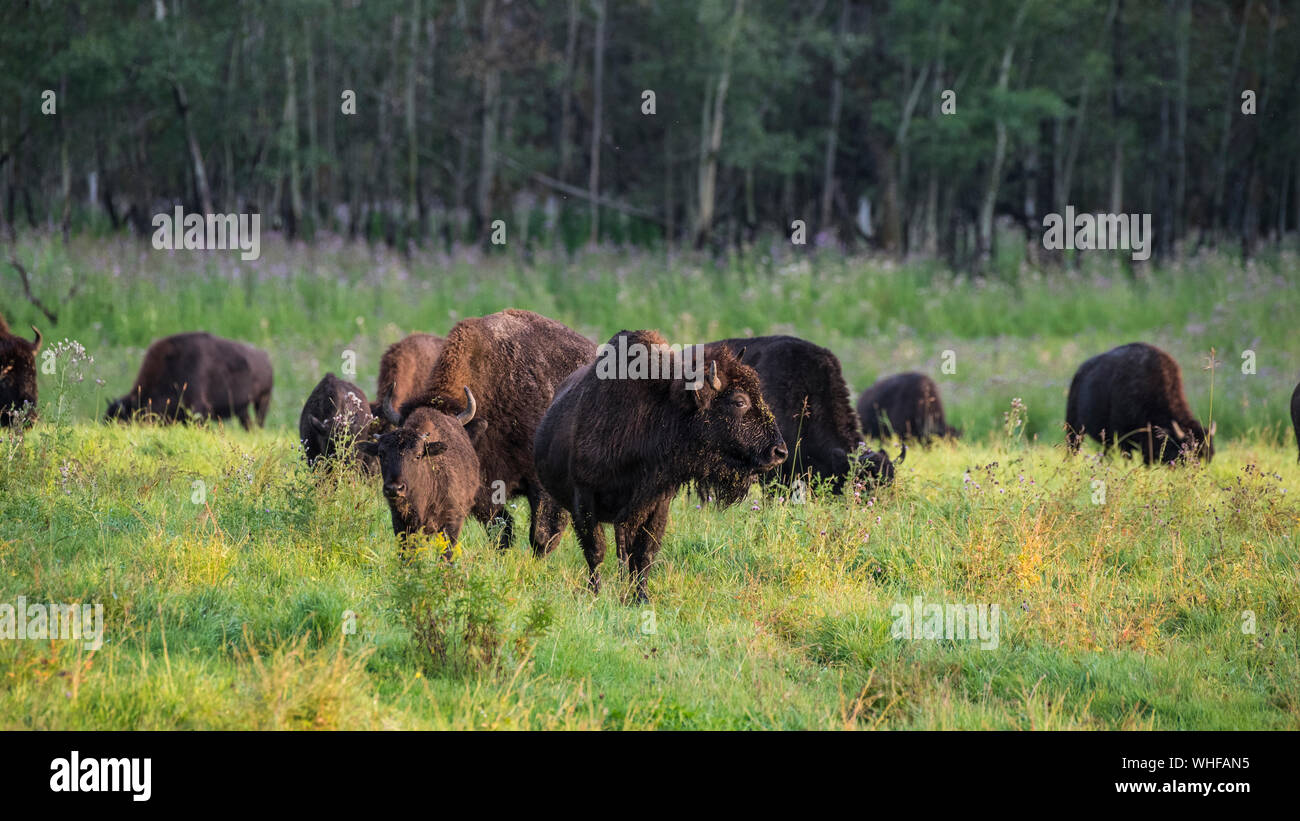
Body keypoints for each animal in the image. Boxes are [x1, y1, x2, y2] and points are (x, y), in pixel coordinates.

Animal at [534, 330, 787, 601]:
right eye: (739, 402)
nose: (779, 452)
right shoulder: (584, 499)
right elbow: (596, 552)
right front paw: (596, 593)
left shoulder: (657, 503)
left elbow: (643, 554)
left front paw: (641, 598)